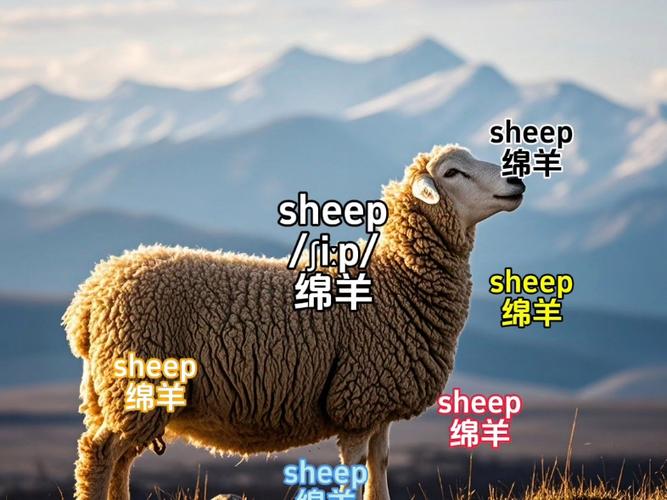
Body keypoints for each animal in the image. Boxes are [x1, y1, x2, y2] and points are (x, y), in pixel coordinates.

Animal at [62, 144, 525, 500]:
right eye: (452, 172)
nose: (517, 182)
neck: (395, 277)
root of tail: (90, 293)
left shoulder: (379, 403)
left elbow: (380, 470)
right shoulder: (355, 400)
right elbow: (356, 472)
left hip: (120, 390)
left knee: (120, 460)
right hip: (137, 380)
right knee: (99, 454)